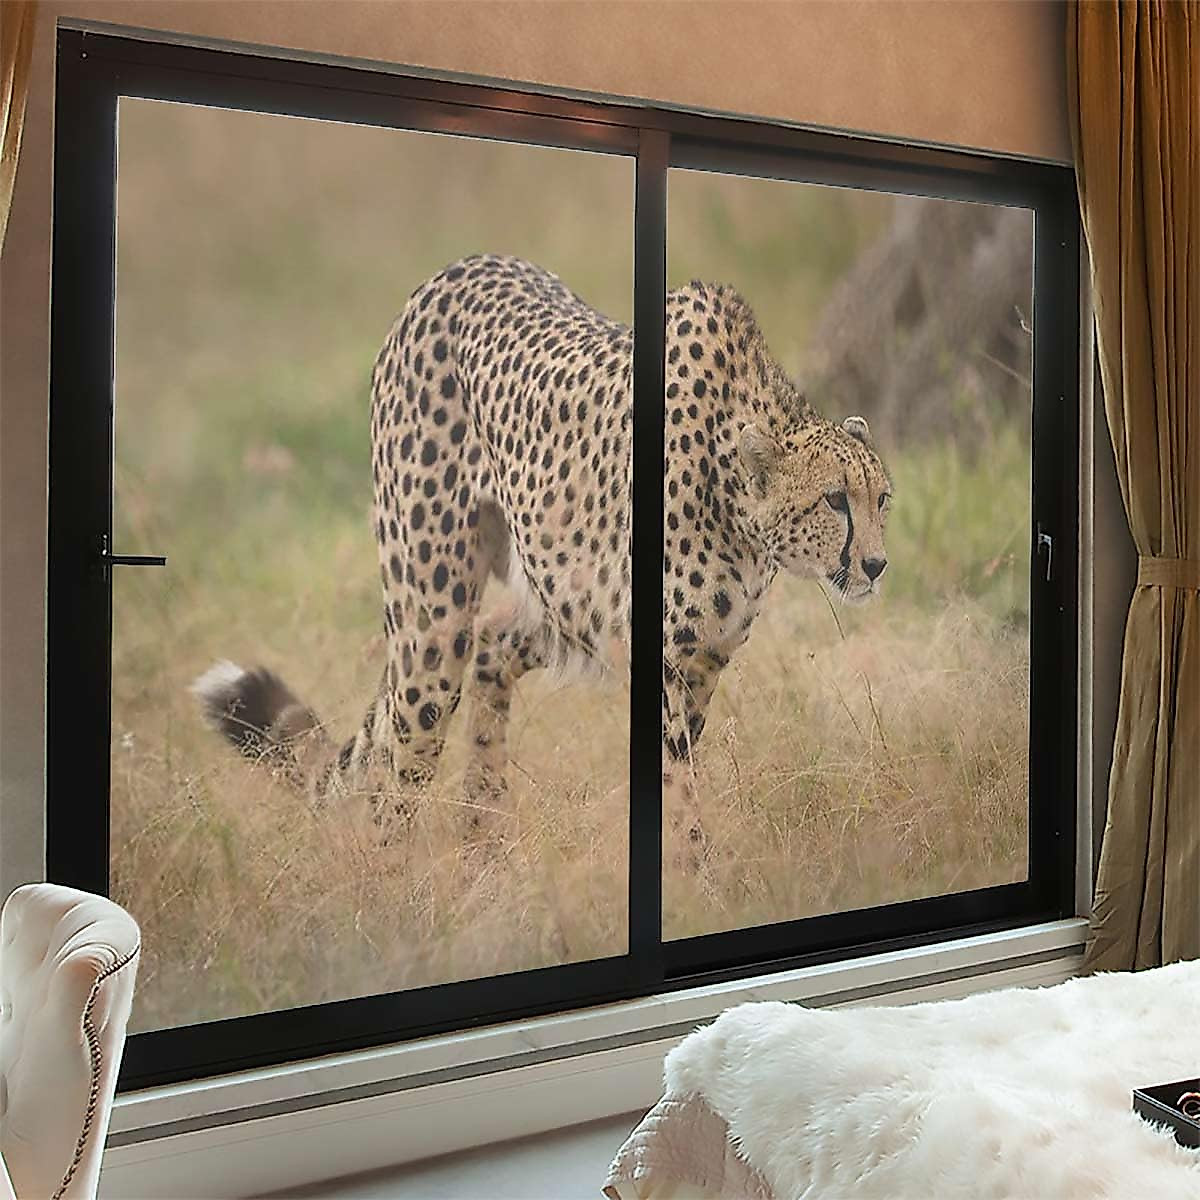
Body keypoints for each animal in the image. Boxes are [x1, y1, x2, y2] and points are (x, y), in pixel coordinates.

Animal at [194, 254, 892, 852]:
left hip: (558, 598)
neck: (734, 496)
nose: (876, 565)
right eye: (835, 500)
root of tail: (455, 269)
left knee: (489, 650)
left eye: (881, 499)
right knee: (406, 749)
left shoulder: (700, 661)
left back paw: (483, 828)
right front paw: (697, 877)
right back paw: (400, 874)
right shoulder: (665, 666)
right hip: (432, 621)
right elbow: (675, 786)